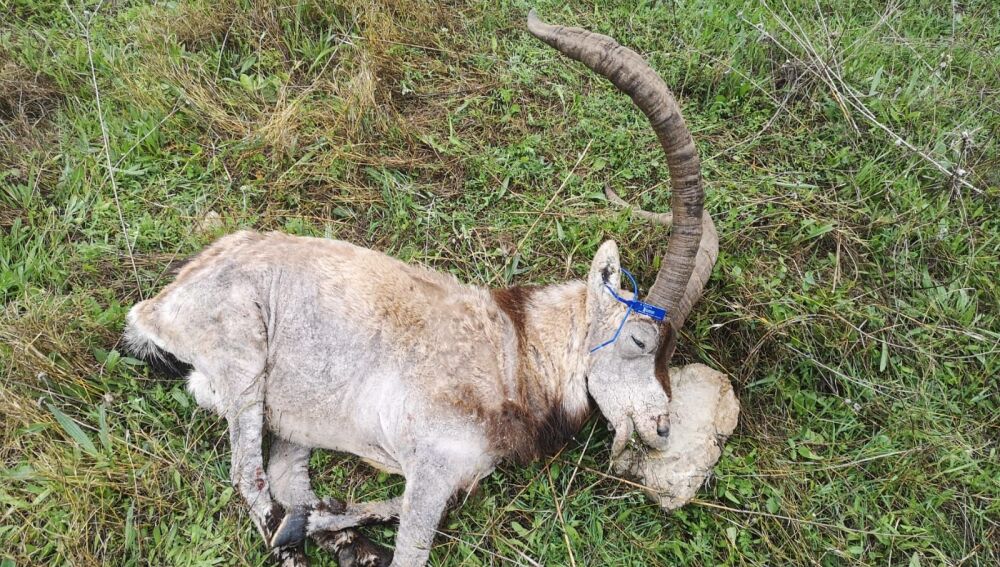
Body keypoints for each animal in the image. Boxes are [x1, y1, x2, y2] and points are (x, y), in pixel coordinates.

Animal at [123, 11, 719, 567]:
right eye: (640, 340)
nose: (661, 429)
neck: (513, 355)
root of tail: (157, 309)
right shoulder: (433, 461)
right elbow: (412, 545)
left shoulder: (453, 473)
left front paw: (328, 522)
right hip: (244, 360)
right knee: (246, 474)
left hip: (292, 415)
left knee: (285, 475)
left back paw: (332, 538)